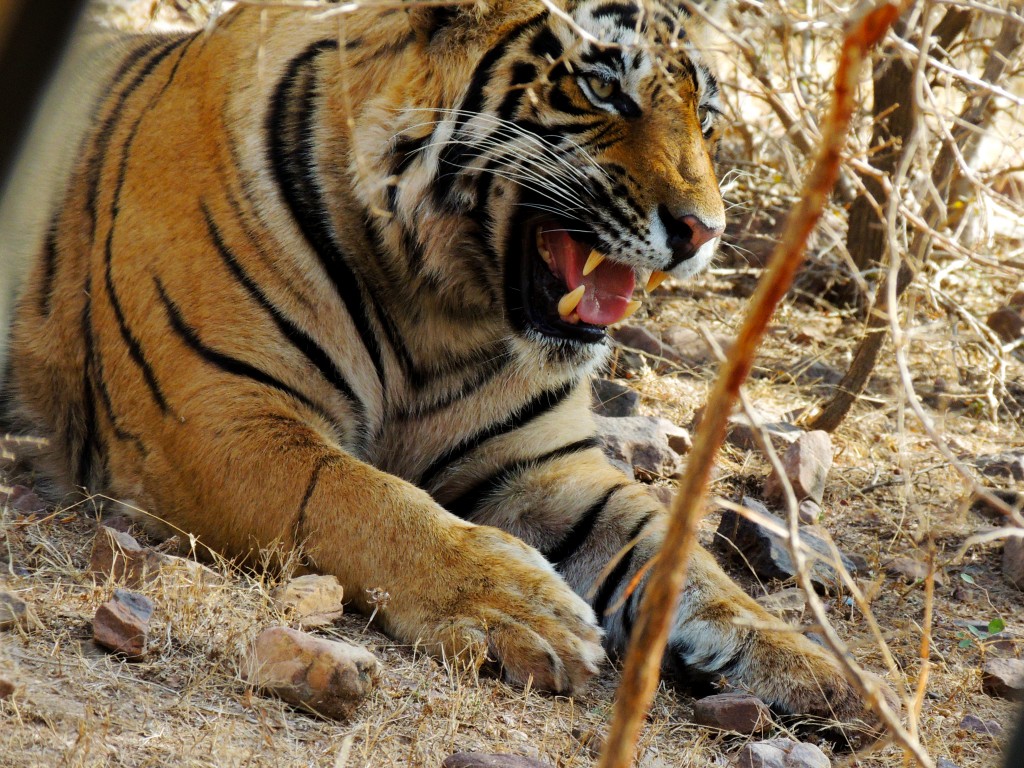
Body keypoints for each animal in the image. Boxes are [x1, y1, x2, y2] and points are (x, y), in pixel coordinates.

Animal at [1, 0, 894, 732]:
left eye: (706, 118)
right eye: (604, 90)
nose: (704, 231)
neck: (435, 300)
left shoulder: (537, 464)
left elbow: (676, 553)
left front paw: (814, 665)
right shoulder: (215, 419)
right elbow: (366, 500)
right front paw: (521, 610)